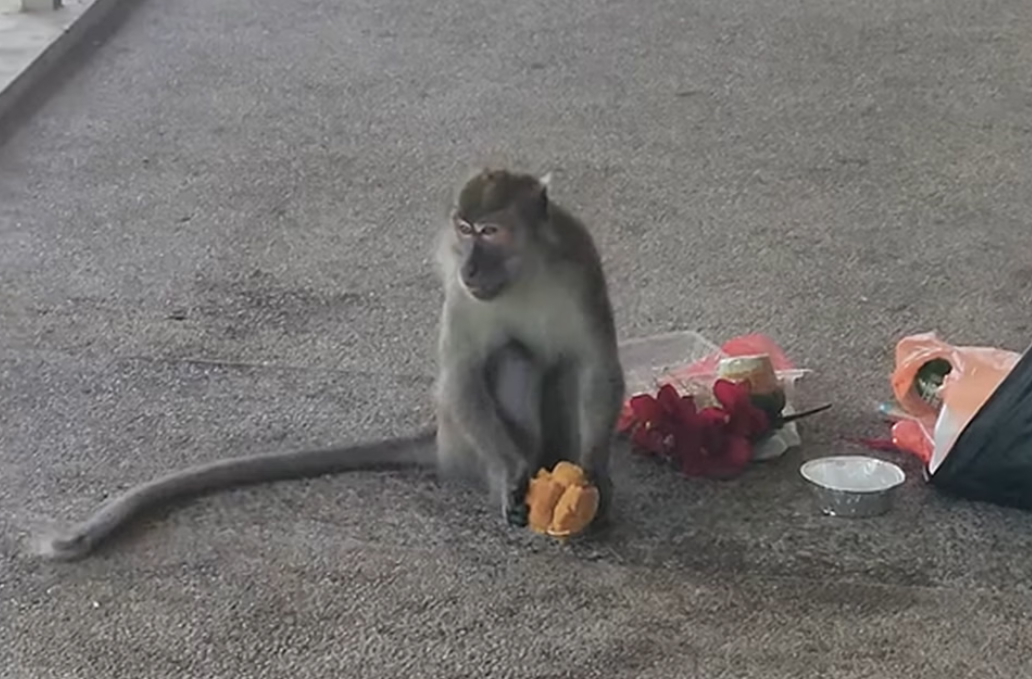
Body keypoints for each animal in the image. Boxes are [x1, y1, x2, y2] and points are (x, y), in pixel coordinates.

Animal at [32, 168, 626, 561]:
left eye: (491, 231)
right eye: (464, 229)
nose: (472, 267)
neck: (522, 273)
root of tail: (439, 440)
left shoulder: (579, 263)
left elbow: (597, 366)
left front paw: (594, 473)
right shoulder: (461, 296)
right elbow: (460, 376)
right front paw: (511, 476)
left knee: (562, 365)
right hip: (465, 446)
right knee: (515, 358)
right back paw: (523, 468)